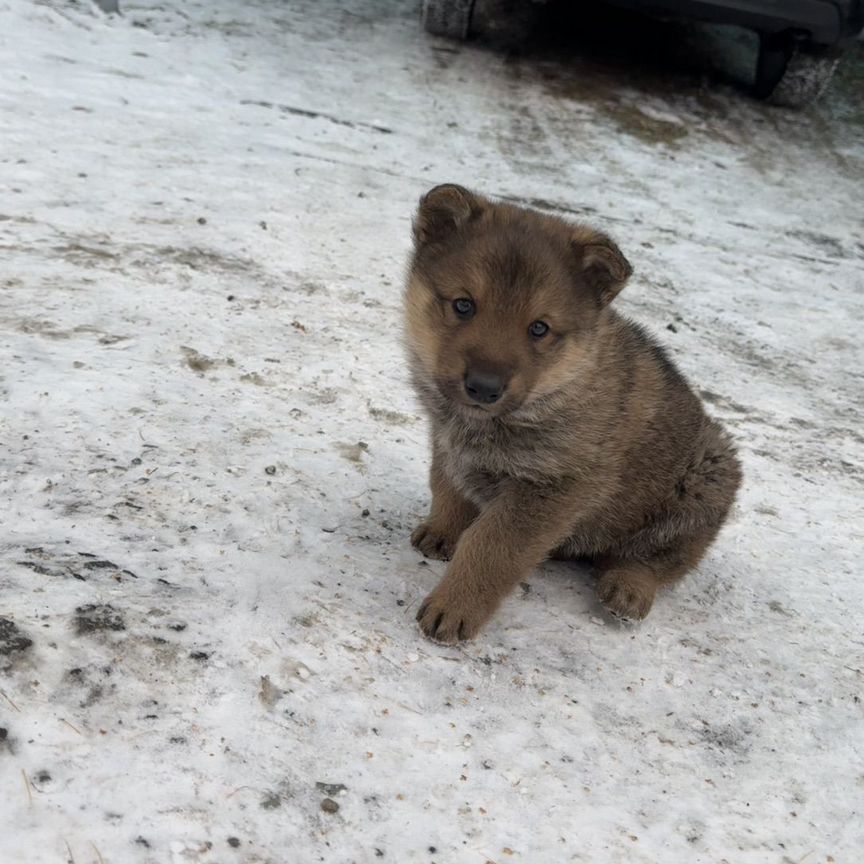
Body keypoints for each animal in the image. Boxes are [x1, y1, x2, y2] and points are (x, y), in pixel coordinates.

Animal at [402, 182, 740, 640]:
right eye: (463, 305)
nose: (484, 387)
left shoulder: (552, 488)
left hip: (706, 482)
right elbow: (447, 487)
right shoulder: (447, 443)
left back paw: (627, 589)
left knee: (656, 561)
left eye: (539, 328)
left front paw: (454, 606)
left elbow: (492, 549)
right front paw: (441, 531)